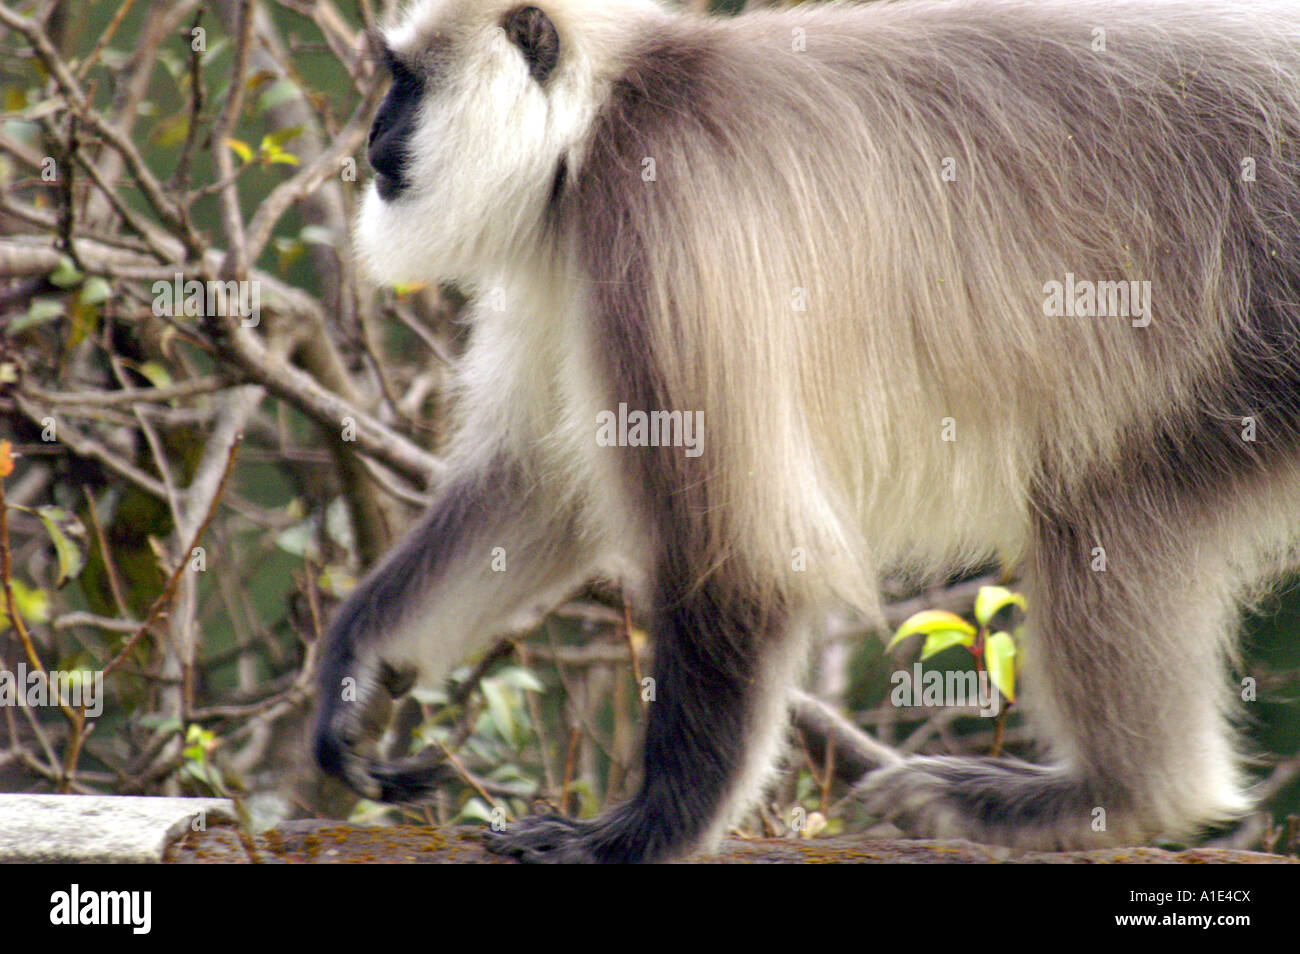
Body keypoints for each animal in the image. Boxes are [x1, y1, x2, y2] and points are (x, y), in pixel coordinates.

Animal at [313, 0, 1300, 863]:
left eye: (405, 83)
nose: (374, 140)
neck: (617, 105)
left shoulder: (663, 211)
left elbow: (740, 560)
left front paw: (644, 834)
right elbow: (538, 488)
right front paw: (359, 671)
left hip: (1258, 344)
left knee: (1102, 505)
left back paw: (1114, 802)